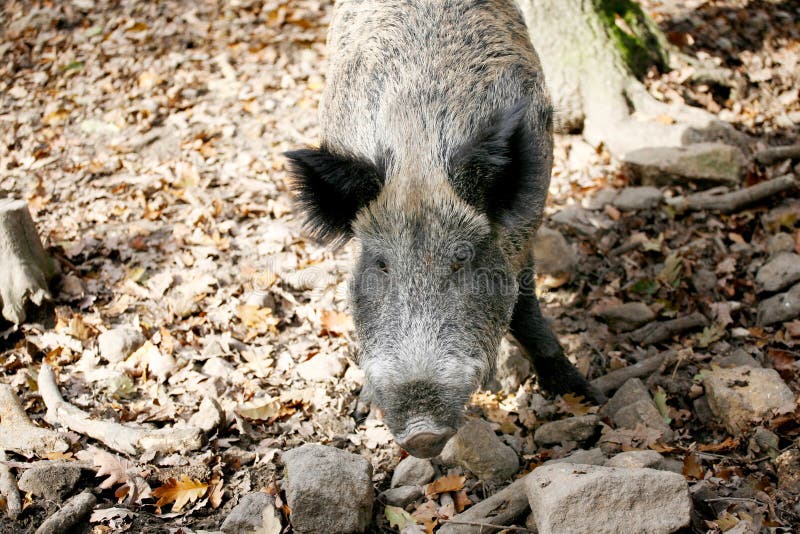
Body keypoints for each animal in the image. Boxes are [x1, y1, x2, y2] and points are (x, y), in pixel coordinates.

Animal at [285, 0, 605, 458]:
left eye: (462, 258)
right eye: (381, 264)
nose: (421, 434)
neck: (417, 154)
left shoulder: (526, 227)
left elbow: (525, 309)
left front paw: (585, 395)